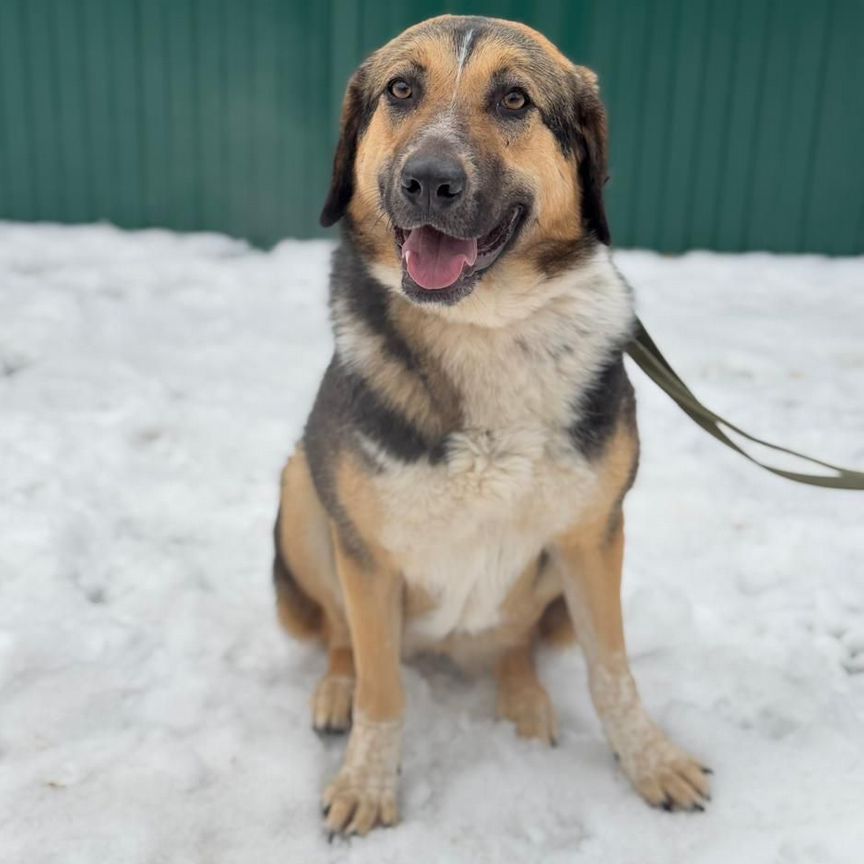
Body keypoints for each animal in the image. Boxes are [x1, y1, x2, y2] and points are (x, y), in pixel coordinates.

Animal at [274, 13, 712, 836]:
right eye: (400, 90)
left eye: (514, 100)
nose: (428, 180)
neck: (484, 324)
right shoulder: (366, 555)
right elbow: (382, 689)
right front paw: (368, 783)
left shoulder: (594, 533)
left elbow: (613, 671)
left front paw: (651, 762)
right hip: (302, 496)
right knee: (343, 636)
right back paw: (337, 688)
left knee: (516, 641)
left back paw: (524, 696)